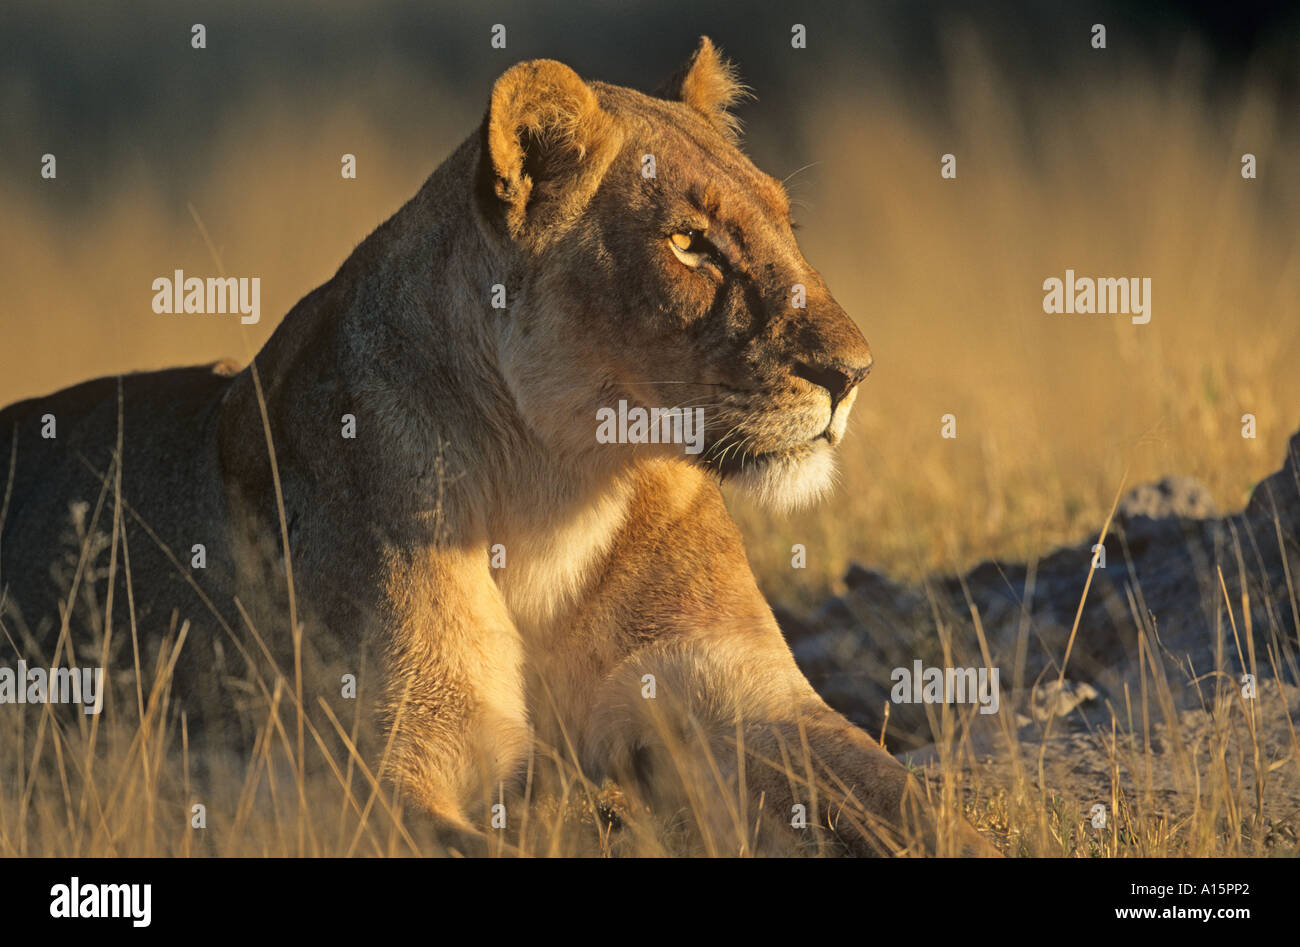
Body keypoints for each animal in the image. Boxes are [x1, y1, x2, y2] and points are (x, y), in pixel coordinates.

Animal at [0, 38, 995, 856]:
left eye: (788, 226)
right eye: (688, 244)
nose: (852, 372)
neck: (557, 484)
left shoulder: (747, 696)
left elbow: (915, 799)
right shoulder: (374, 767)